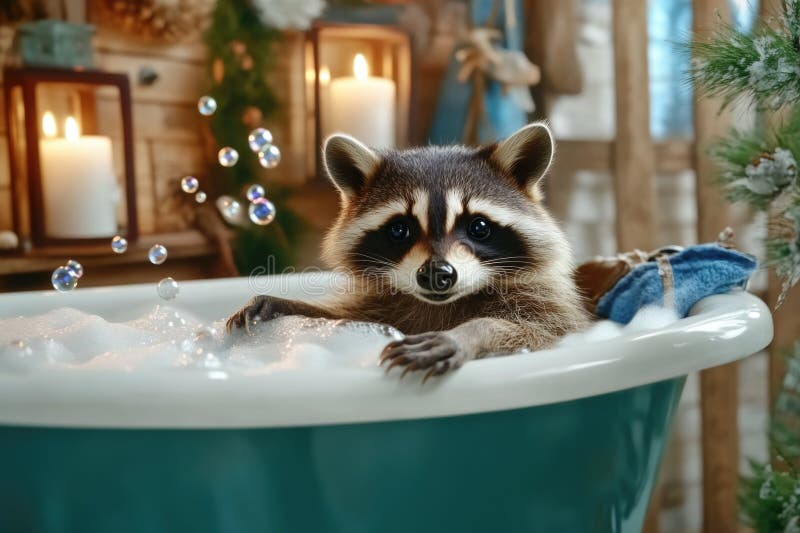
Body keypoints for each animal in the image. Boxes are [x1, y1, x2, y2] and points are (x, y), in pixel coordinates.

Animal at [227, 122, 589, 380]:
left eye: (479, 227)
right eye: (400, 230)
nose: (437, 274)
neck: (442, 304)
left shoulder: (548, 308)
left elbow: (539, 331)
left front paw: (471, 332)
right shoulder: (380, 307)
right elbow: (343, 315)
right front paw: (288, 303)